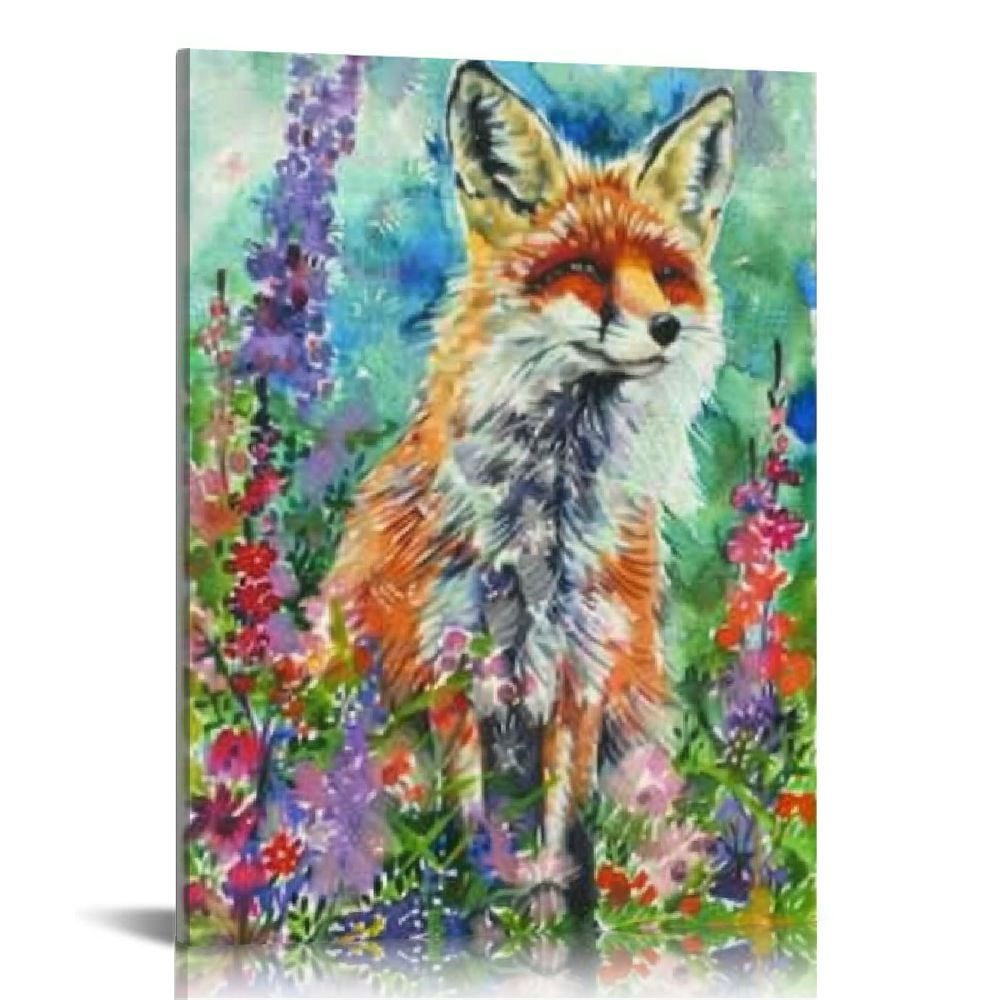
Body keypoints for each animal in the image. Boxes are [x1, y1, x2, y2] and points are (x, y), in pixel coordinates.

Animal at [314, 60, 736, 924]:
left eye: (667, 275)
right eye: (585, 268)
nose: (668, 326)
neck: (547, 521)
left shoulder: (583, 671)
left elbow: (564, 835)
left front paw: (557, 919)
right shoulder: (445, 667)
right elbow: (473, 825)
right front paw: (476, 914)